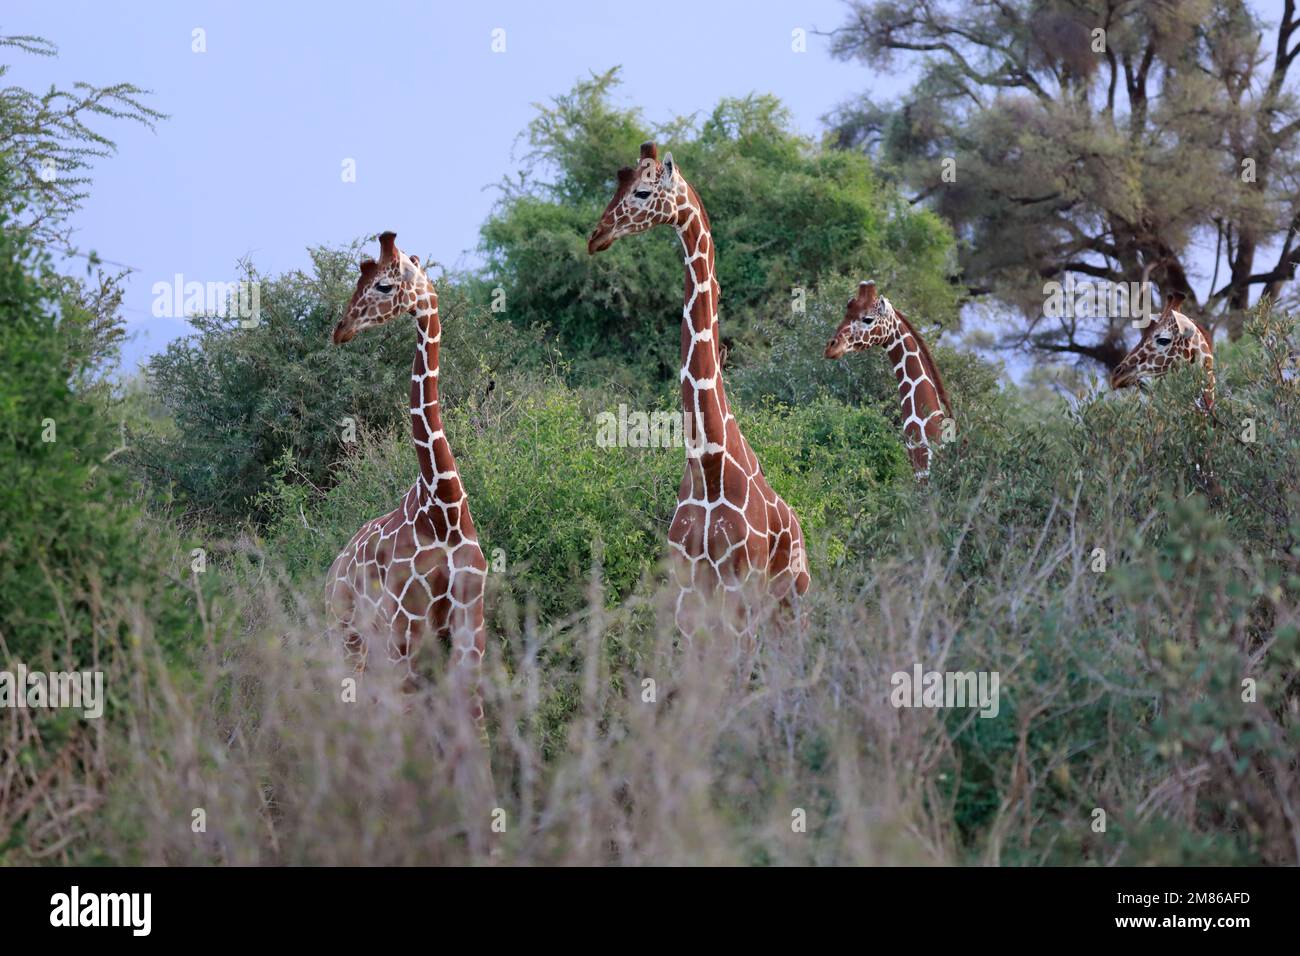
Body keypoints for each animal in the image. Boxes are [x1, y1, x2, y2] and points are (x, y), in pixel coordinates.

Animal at [326, 231, 488, 722]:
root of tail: (331, 572)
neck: (445, 510)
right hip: (349, 636)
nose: (340, 329)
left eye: (383, 284)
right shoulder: (408, 629)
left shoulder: (469, 624)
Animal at [587, 142, 810, 639]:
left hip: (790, 607)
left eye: (642, 190)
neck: (708, 462)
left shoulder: (739, 593)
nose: (596, 236)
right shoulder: (688, 594)